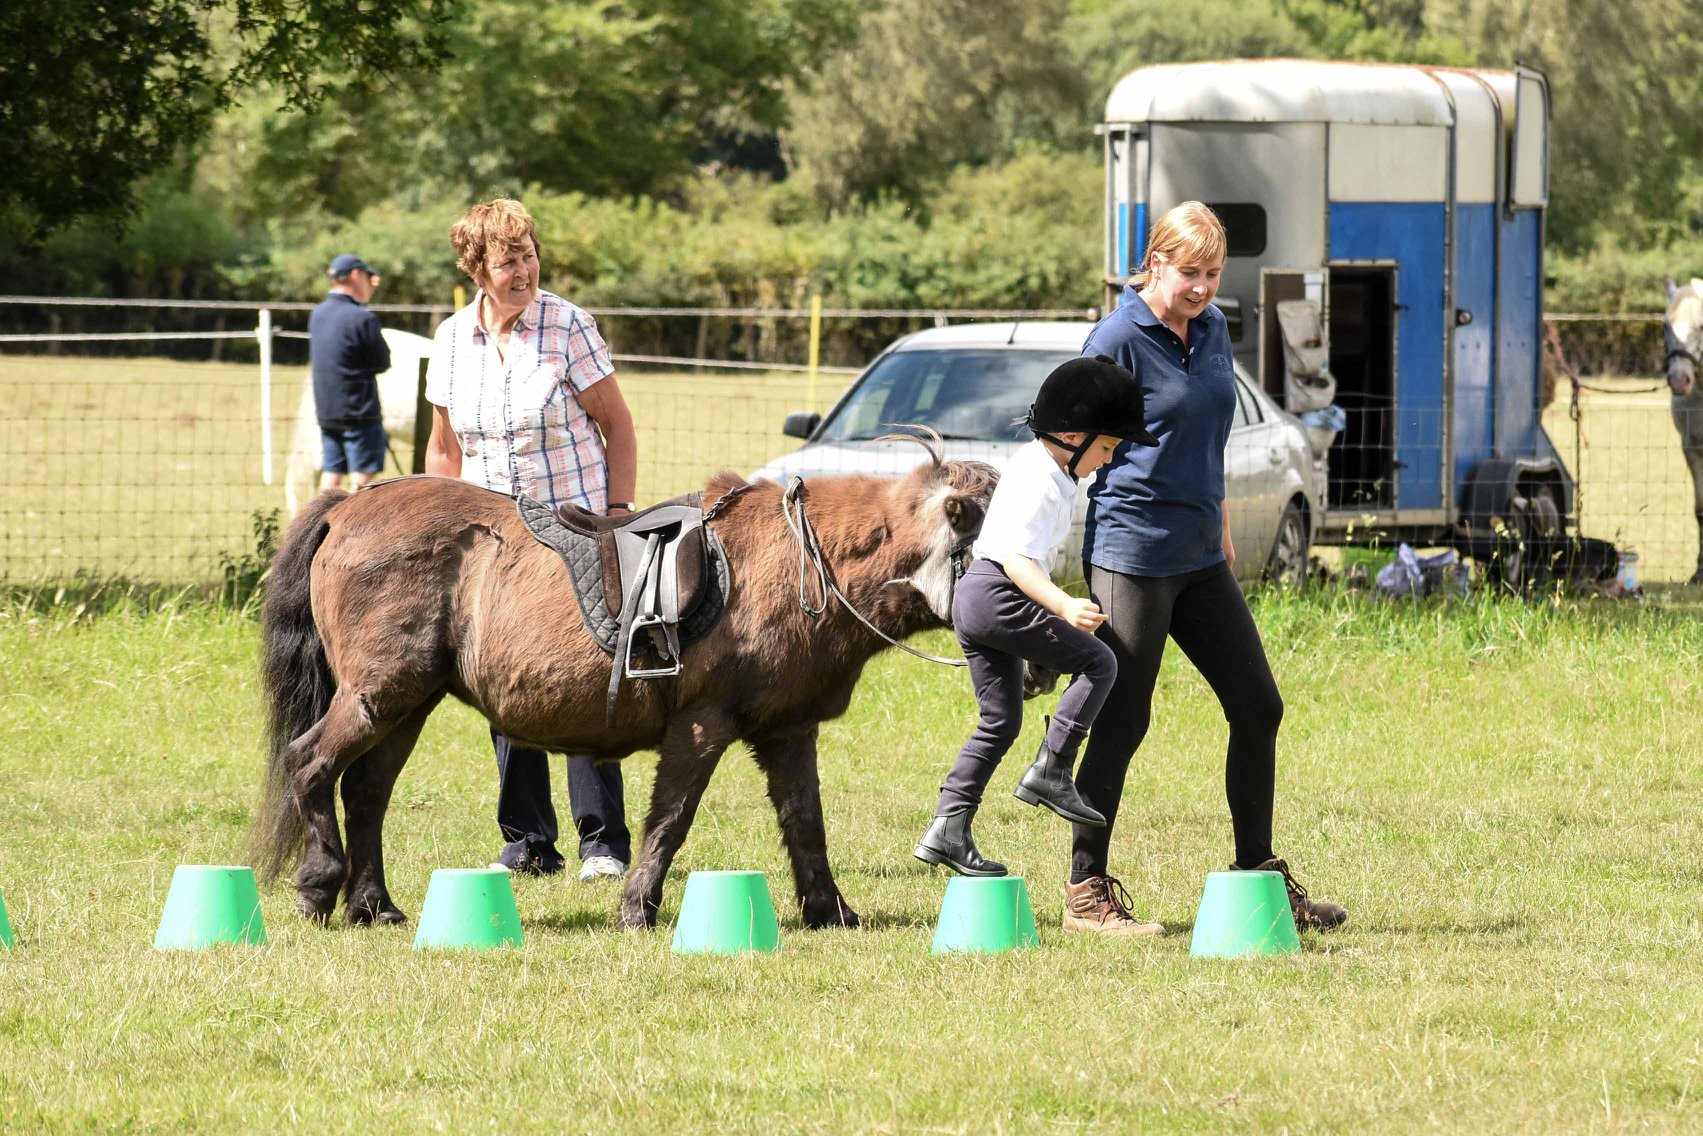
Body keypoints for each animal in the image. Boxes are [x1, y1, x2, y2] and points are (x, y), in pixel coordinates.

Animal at [250, 446, 998, 930]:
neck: (798, 562)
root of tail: (349, 506)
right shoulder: (702, 722)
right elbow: (671, 818)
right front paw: (638, 907)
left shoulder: (786, 728)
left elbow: (804, 821)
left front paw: (830, 911)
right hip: (378, 696)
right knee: (310, 764)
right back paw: (320, 887)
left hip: (405, 704)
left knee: (365, 792)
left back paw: (373, 905)